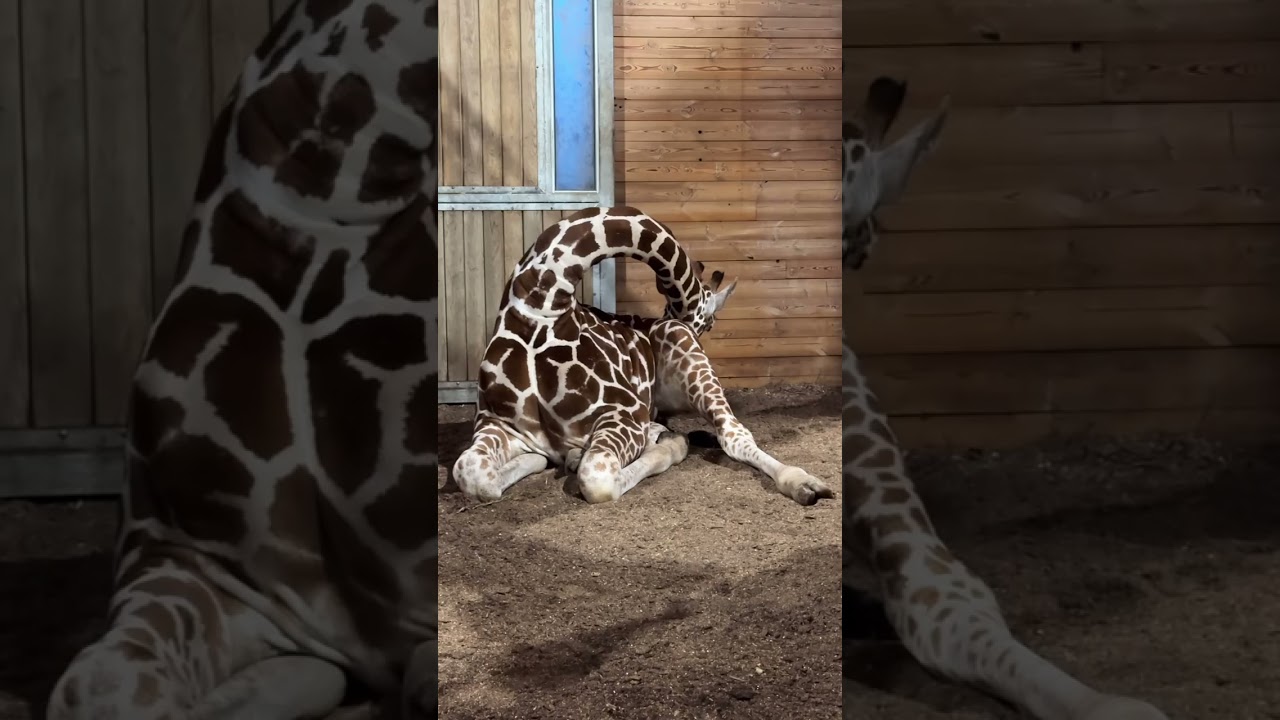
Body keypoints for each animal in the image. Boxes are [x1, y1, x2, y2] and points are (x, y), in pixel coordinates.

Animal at [451, 206, 835, 506]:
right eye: (711, 322)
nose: (698, 332)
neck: (539, 304)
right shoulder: (499, 425)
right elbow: (471, 473)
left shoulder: (623, 415)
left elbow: (598, 480)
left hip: (684, 365)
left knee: (733, 434)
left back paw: (805, 484)